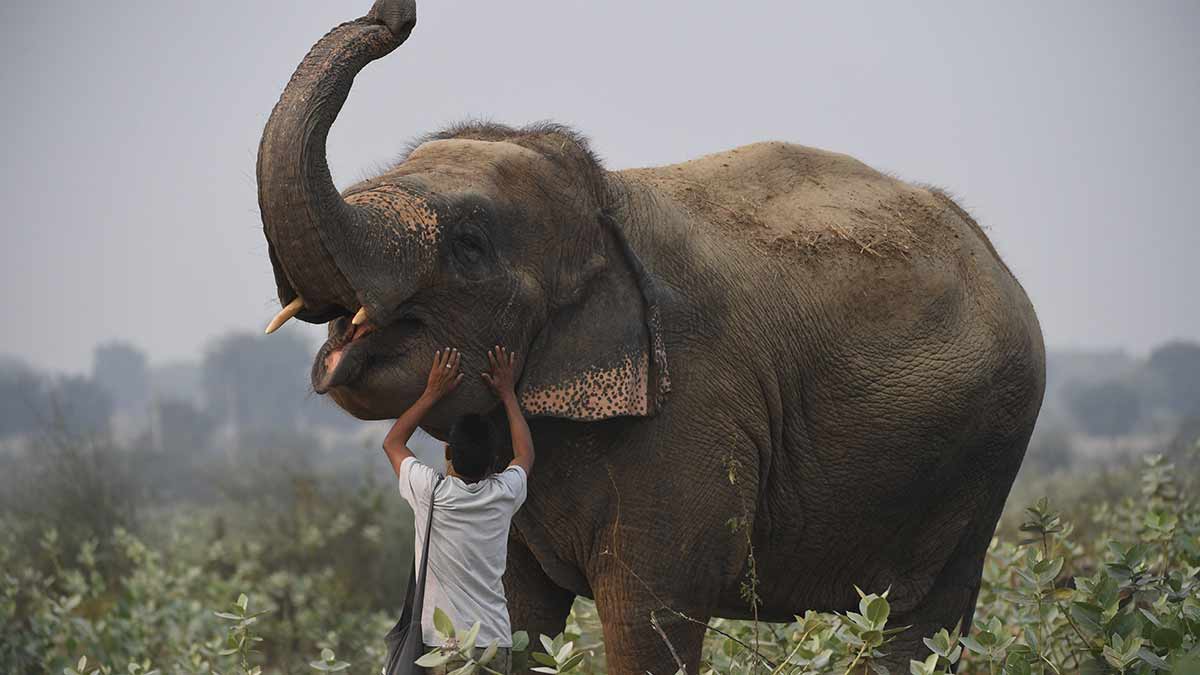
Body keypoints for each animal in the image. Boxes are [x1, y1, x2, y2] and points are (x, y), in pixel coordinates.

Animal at [255, 1, 1045, 672]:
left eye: (470, 246)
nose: (396, 11)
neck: (606, 203)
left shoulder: (690, 415)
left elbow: (648, 615)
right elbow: (514, 611)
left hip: (983, 455)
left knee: (918, 624)